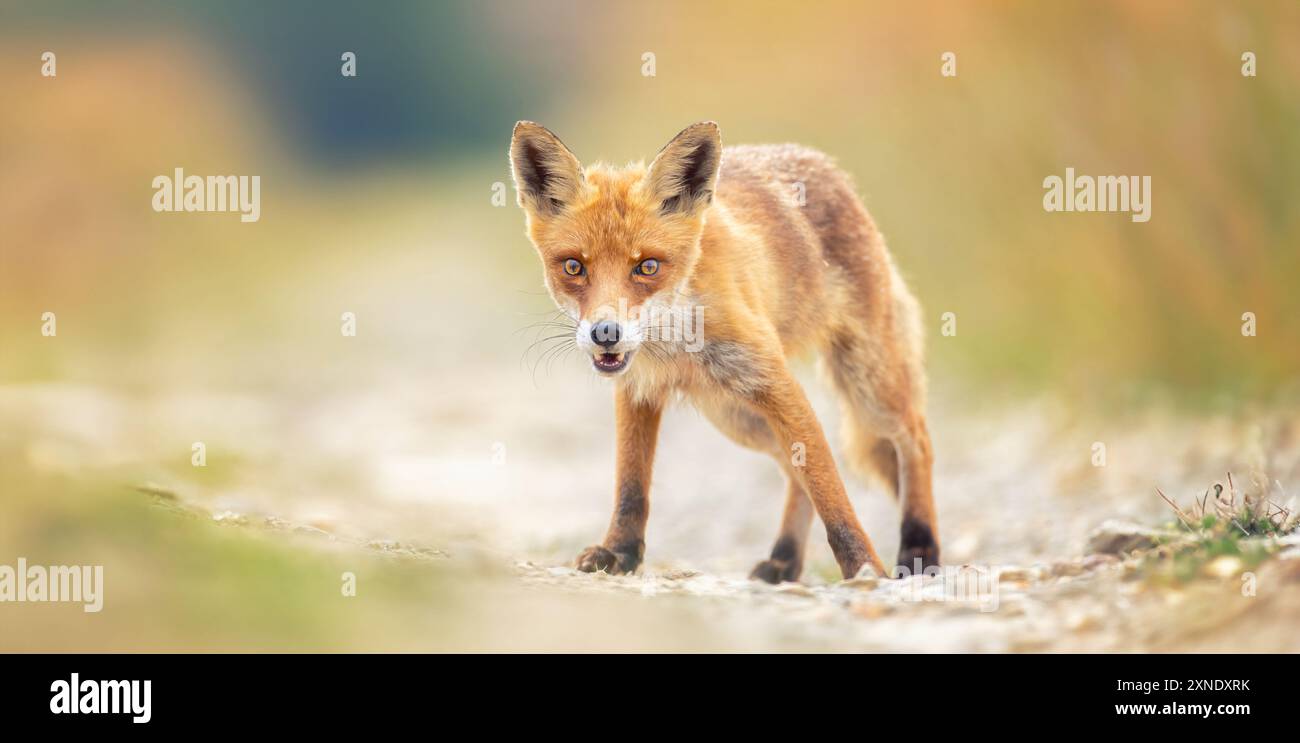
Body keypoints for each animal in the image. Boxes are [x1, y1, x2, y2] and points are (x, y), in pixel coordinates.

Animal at [509, 120, 938, 582]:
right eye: (574, 267)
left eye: (647, 266)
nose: (606, 333)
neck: (675, 341)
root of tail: (828, 168)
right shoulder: (637, 387)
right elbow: (631, 486)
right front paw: (619, 553)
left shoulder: (775, 380)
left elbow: (831, 491)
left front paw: (864, 569)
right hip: (736, 416)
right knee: (794, 471)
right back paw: (785, 559)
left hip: (864, 384)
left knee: (915, 439)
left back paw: (920, 547)